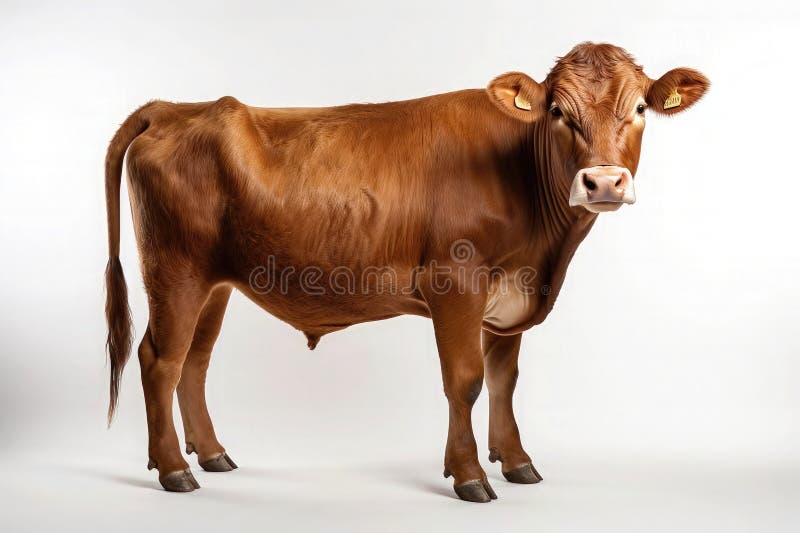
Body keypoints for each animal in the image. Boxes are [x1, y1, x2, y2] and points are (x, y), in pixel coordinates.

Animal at [104, 42, 709, 502]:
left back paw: (212, 455)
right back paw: (174, 470)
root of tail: (174, 108)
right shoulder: (457, 284)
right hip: (175, 271)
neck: (546, 255)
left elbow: (504, 379)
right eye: (558, 112)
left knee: (195, 361)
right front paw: (469, 476)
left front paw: (516, 461)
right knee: (160, 360)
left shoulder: (510, 295)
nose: (604, 182)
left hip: (216, 284)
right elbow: (465, 381)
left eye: (640, 108)